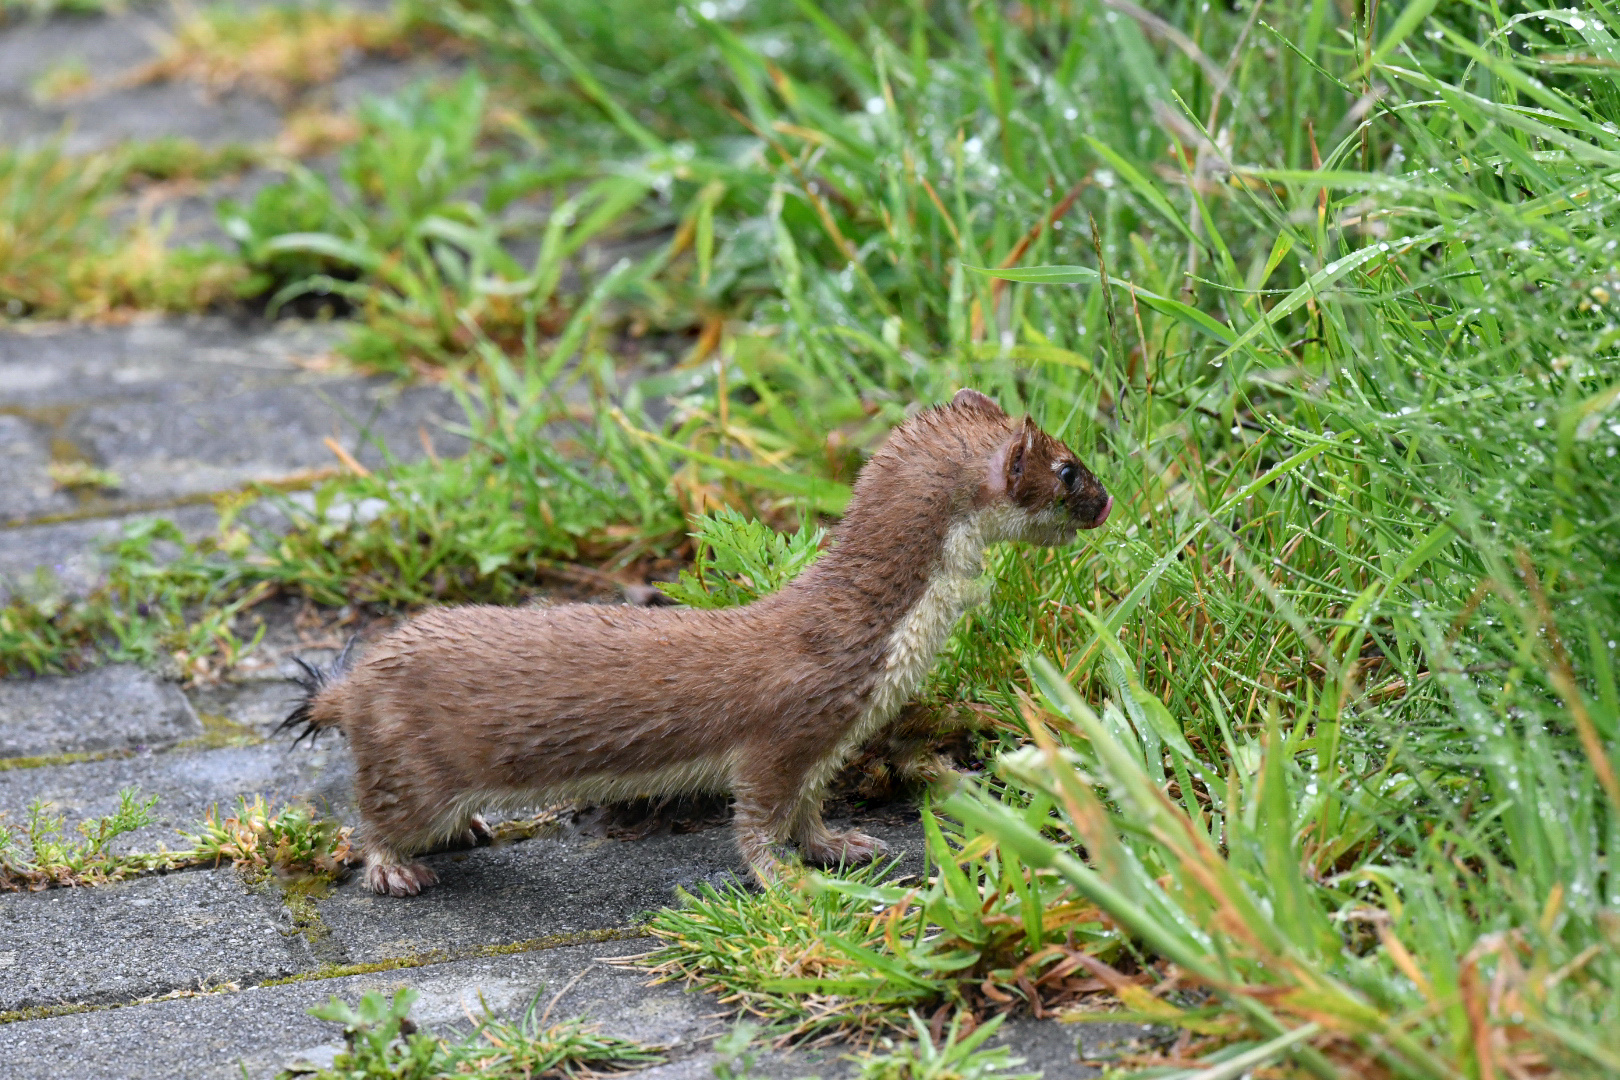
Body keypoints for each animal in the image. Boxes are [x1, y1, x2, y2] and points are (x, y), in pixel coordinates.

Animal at [281, 388, 1114, 893]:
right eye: (1070, 470)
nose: (1110, 501)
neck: (880, 646)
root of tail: (355, 683)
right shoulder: (787, 728)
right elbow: (757, 819)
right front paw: (787, 881)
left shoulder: (830, 742)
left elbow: (809, 809)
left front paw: (842, 846)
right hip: (410, 765)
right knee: (372, 816)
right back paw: (396, 869)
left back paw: (470, 829)